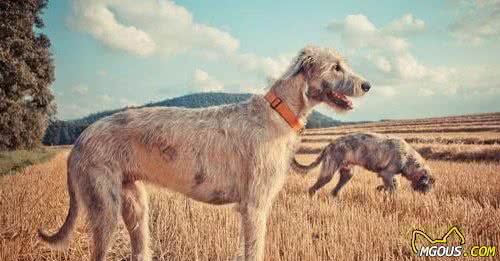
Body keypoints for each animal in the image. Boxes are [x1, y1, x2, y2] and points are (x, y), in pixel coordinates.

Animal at [38, 46, 372, 260]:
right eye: (336, 66)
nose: (368, 85)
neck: (278, 113)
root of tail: (80, 140)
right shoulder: (254, 206)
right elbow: (254, 249)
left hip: (134, 203)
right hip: (104, 206)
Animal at [292, 132, 434, 197]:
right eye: (427, 184)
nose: (427, 195)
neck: (408, 157)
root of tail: (328, 146)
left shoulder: (391, 174)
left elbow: (395, 184)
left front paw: (381, 189)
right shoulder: (387, 173)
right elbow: (392, 189)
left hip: (347, 174)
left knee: (334, 191)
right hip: (328, 174)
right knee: (313, 189)